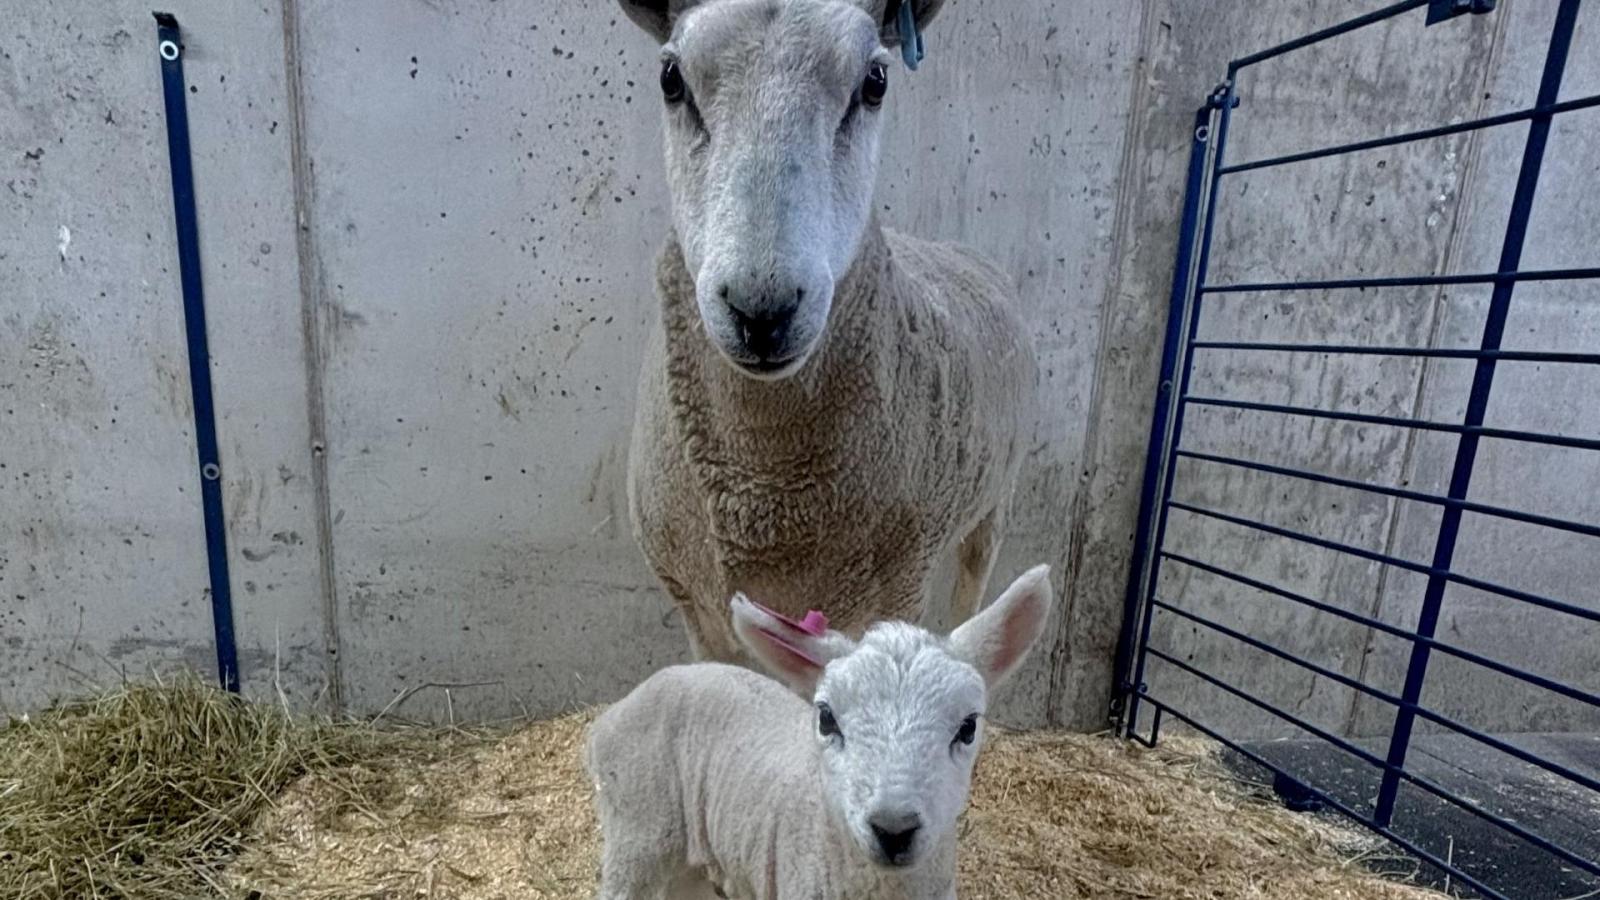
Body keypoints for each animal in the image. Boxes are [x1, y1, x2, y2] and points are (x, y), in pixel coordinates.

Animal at [619, 0, 1038, 664]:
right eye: (670, 79)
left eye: (876, 81)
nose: (762, 311)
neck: (763, 482)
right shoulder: (698, 607)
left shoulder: (895, 587)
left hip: (994, 503)